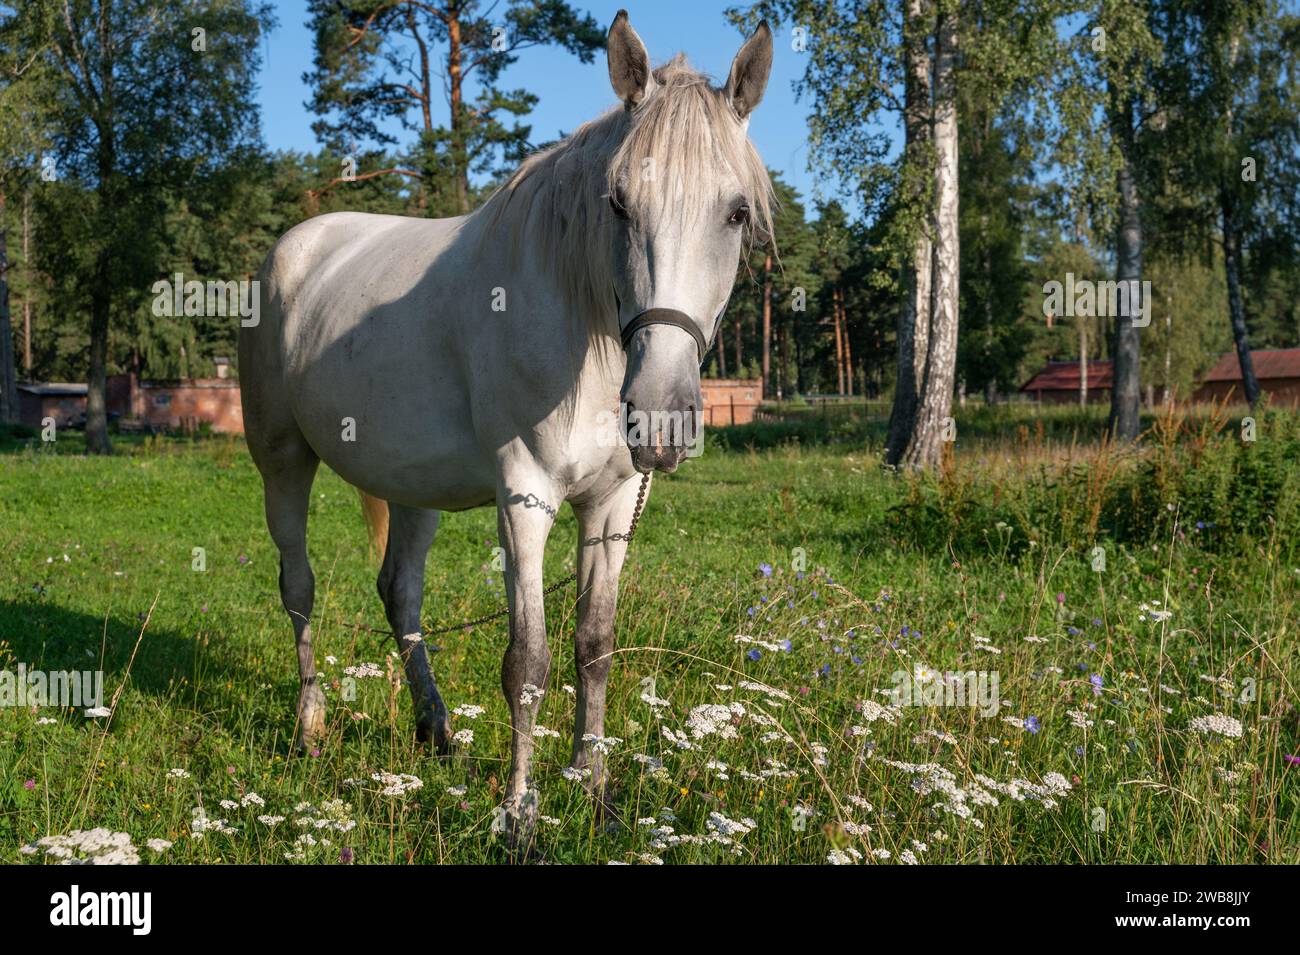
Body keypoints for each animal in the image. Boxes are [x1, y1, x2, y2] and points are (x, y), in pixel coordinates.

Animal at [238, 9, 774, 840]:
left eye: (737, 211)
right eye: (619, 203)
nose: (658, 415)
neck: (582, 329)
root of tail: (292, 249)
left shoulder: (612, 505)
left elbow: (594, 645)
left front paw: (595, 791)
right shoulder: (524, 497)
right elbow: (527, 661)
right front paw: (520, 814)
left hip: (413, 485)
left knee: (399, 591)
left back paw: (434, 728)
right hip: (282, 462)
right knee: (299, 587)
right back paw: (311, 728)